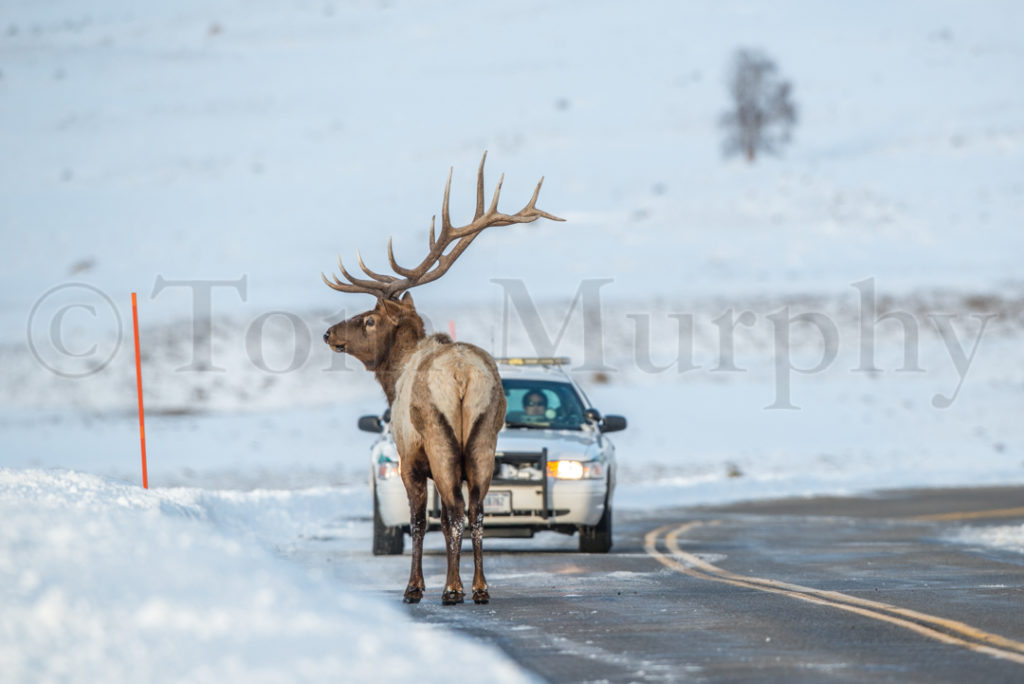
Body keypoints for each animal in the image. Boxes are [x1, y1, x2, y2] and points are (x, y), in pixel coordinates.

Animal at [321, 153, 563, 605]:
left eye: (369, 320)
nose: (328, 333)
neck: (394, 377)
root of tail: (463, 376)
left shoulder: (409, 459)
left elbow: (419, 521)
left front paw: (415, 587)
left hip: (439, 438)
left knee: (452, 511)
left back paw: (451, 588)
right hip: (485, 439)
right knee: (477, 511)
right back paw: (481, 588)